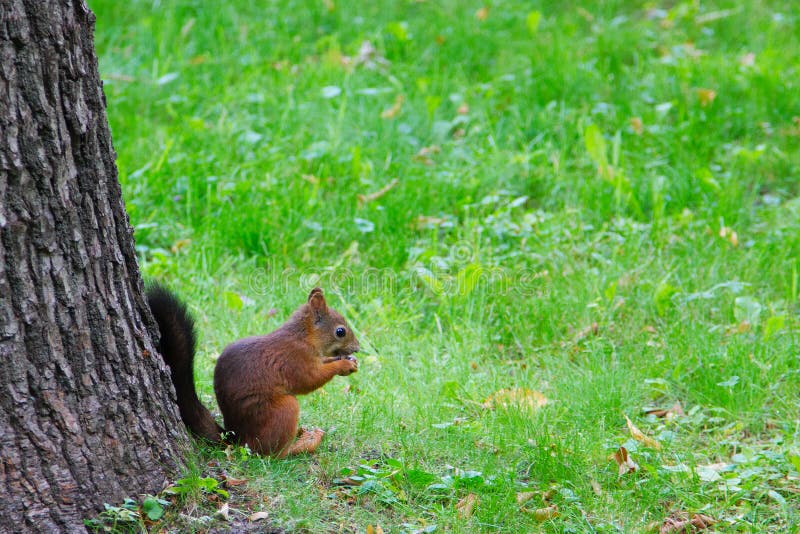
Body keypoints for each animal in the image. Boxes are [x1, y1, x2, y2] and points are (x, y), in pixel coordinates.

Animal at [146, 284, 359, 457]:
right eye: (340, 332)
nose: (357, 348)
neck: (304, 336)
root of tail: (238, 440)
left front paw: (345, 361)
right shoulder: (294, 359)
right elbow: (310, 380)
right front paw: (343, 366)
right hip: (284, 411)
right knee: (271, 455)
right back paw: (300, 447)